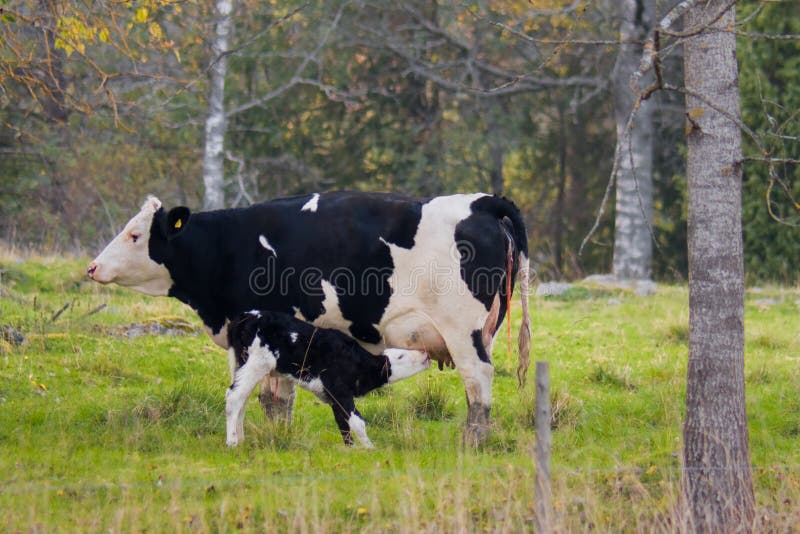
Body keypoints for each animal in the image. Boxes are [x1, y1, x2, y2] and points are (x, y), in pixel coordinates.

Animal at [226, 310, 431, 448]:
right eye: (401, 356)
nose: (425, 353)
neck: (355, 362)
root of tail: (245, 317)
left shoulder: (333, 397)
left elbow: (343, 423)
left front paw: (351, 448)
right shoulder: (340, 391)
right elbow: (357, 422)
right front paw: (370, 448)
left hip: (241, 364)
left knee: (241, 399)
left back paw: (240, 438)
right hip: (255, 363)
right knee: (234, 397)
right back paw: (232, 442)